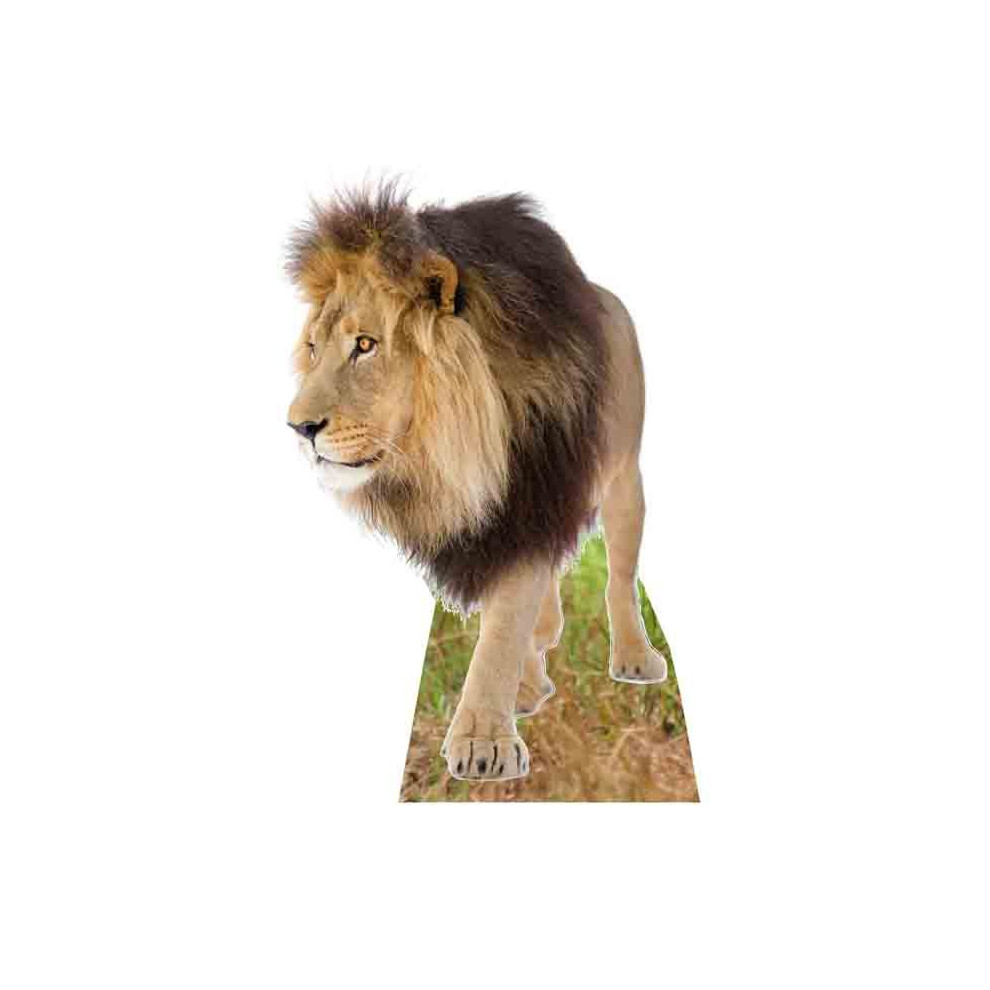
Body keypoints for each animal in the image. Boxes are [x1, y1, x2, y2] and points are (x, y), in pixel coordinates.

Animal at [285, 182, 667, 780]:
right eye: (313, 348)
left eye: (366, 345)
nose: (298, 427)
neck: (449, 455)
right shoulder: (484, 522)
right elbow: (509, 619)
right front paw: (520, 692)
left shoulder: (532, 493)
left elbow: (503, 629)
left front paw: (482, 741)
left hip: (624, 474)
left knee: (621, 576)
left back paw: (632, 657)